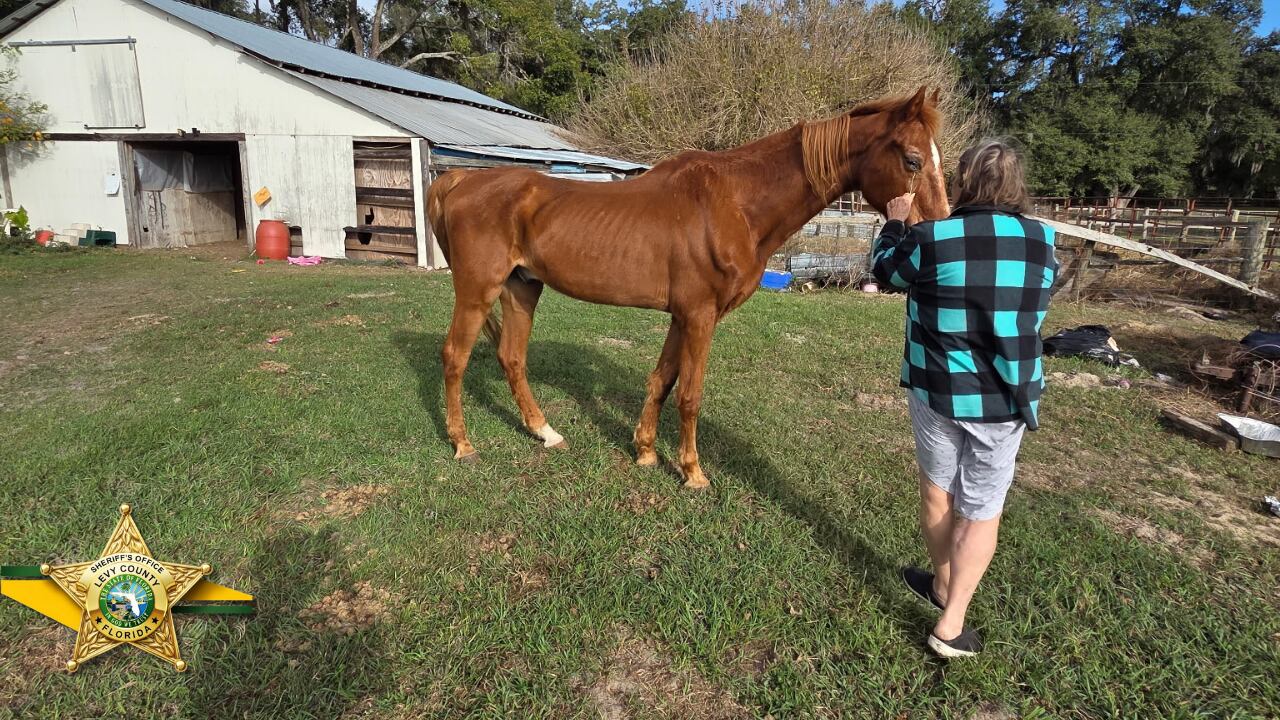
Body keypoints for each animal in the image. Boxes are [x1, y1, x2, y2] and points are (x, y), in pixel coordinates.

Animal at [426, 86, 951, 488]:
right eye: (912, 159)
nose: (943, 228)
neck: (734, 203)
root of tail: (458, 180)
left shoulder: (684, 315)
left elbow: (662, 380)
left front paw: (645, 452)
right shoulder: (700, 316)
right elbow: (690, 394)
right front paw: (693, 472)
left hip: (522, 288)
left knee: (512, 357)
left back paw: (545, 432)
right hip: (477, 291)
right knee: (454, 357)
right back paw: (463, 444)